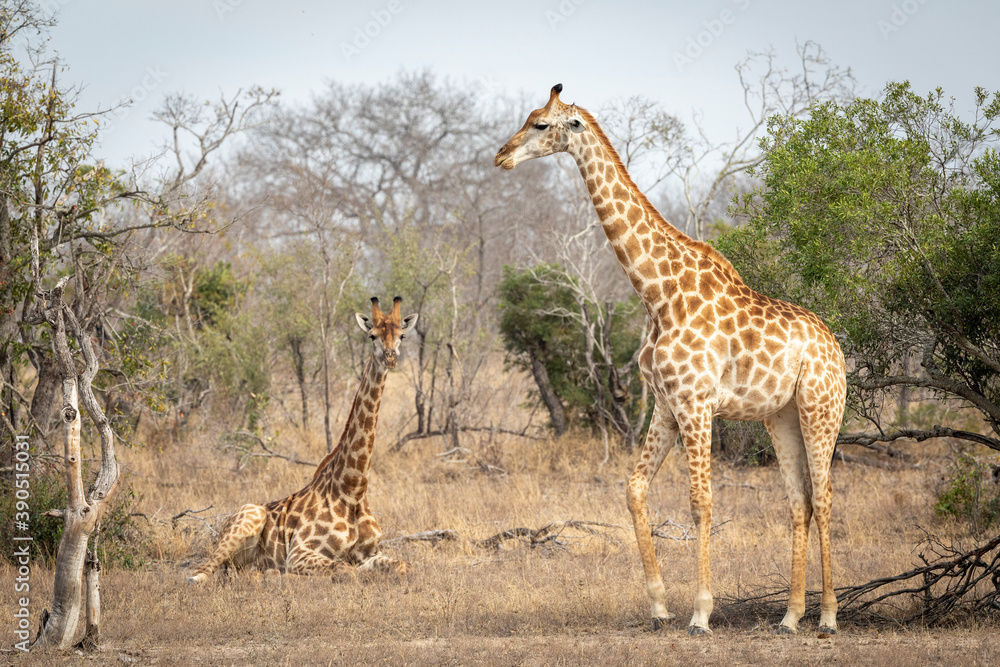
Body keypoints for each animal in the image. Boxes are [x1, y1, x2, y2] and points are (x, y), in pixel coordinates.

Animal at [187, 296, 418, 584]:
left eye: (402, 335)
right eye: (371, 335)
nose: (390, 358)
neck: (352, 490)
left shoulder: (371, 553)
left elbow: (404, 566)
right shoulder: (299, 552)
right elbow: (345, 570)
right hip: (249, 518)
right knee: (200, 573)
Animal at [495, 85, 846, 635]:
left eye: (540, 124)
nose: (501, 156)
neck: (657, 294)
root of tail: (836, 346)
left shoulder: (696, 402)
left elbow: (701, 503)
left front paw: (701, 613)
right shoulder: (665, 403)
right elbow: (634, 489)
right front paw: (659, 606)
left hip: (820, 409)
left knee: (826, 498)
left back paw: (828, 616)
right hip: (780, 417)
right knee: (799, 502)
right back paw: (790, 617)